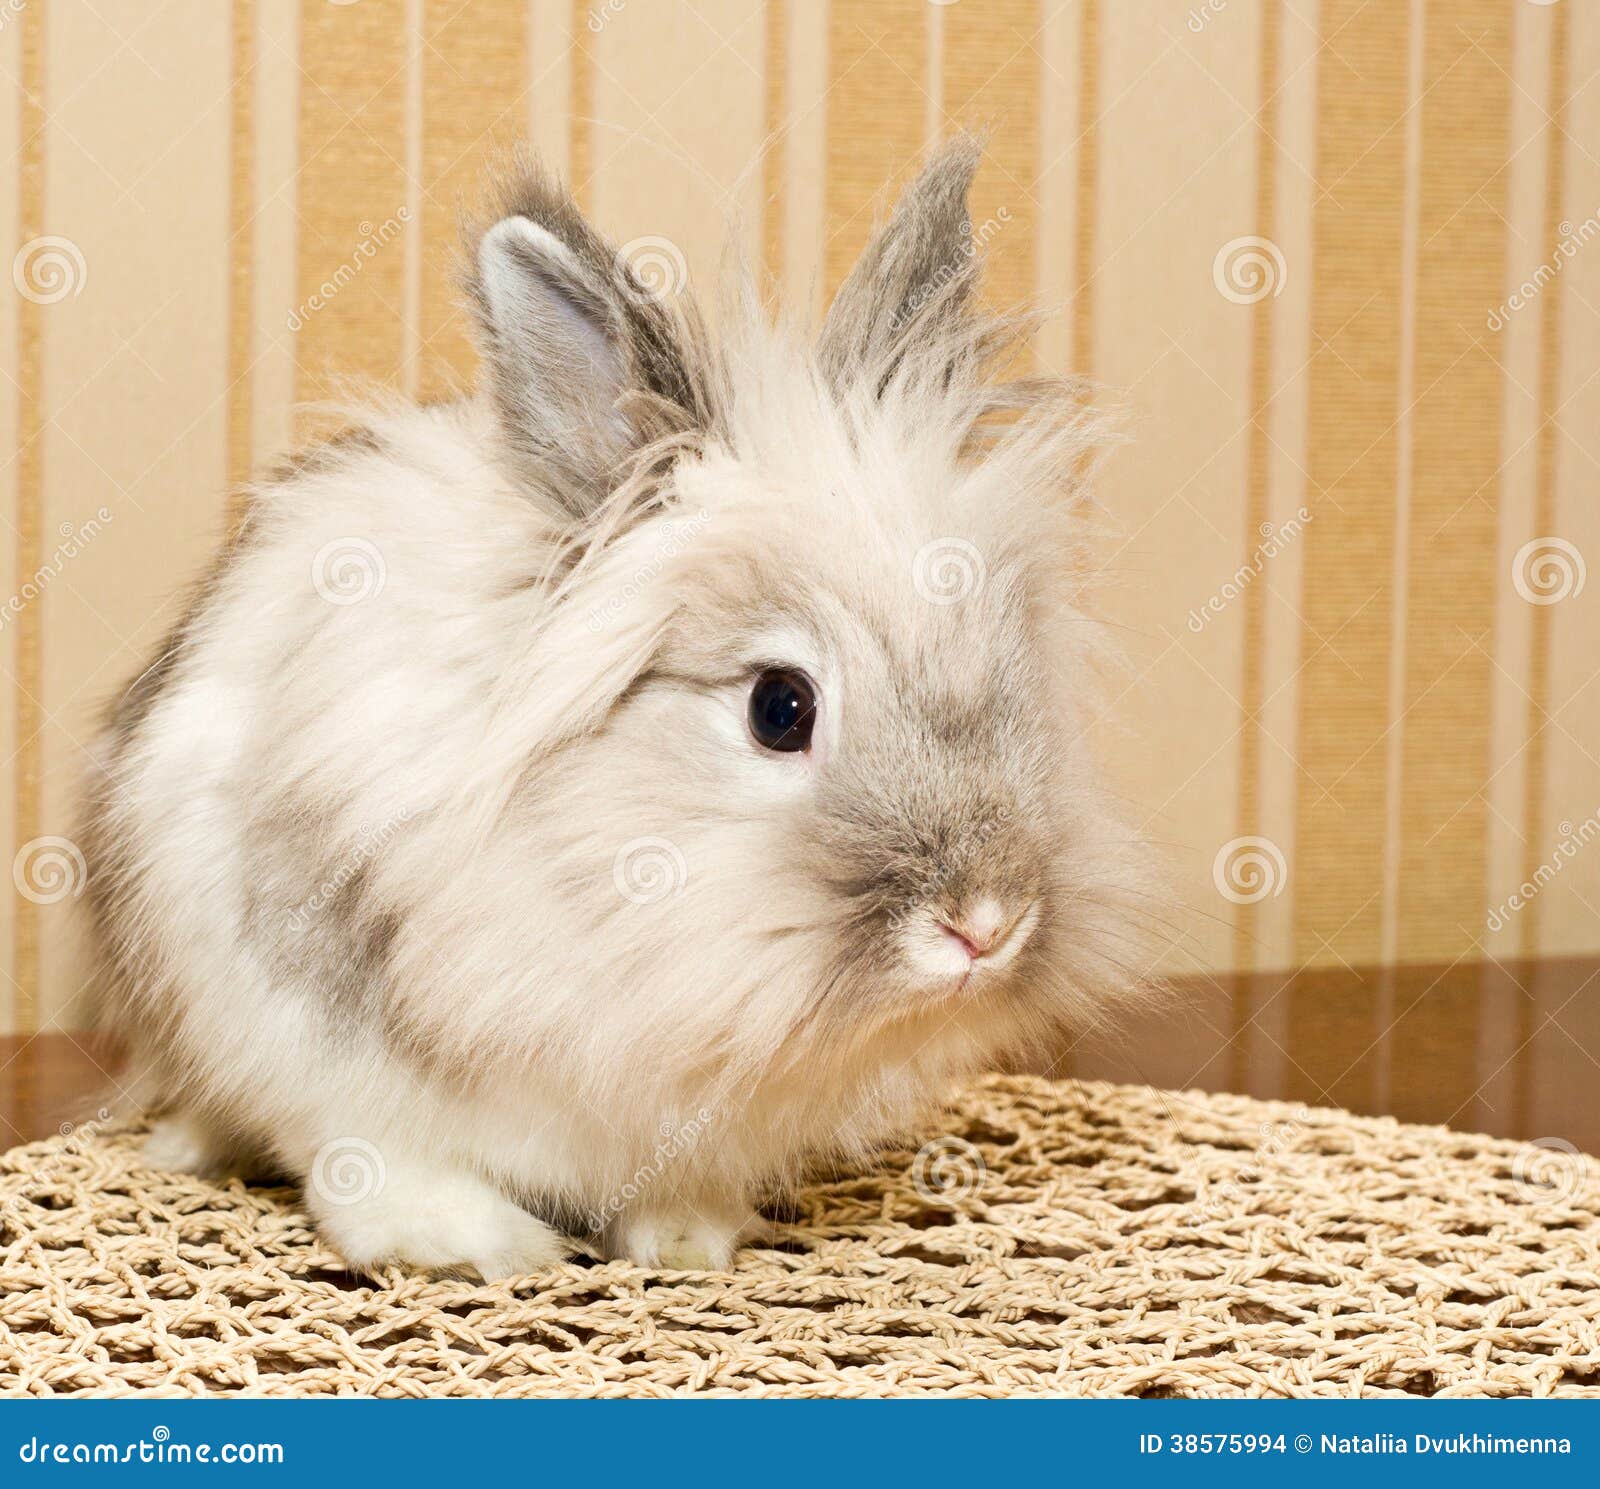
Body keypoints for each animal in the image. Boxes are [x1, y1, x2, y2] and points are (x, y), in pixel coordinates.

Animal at [81, 135, 1160, 1279]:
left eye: (1011, 670)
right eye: (781, 707)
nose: (985, 923)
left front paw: (686, 1240)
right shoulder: (308, 1009)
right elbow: (375, 1151)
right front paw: (473, 1246)